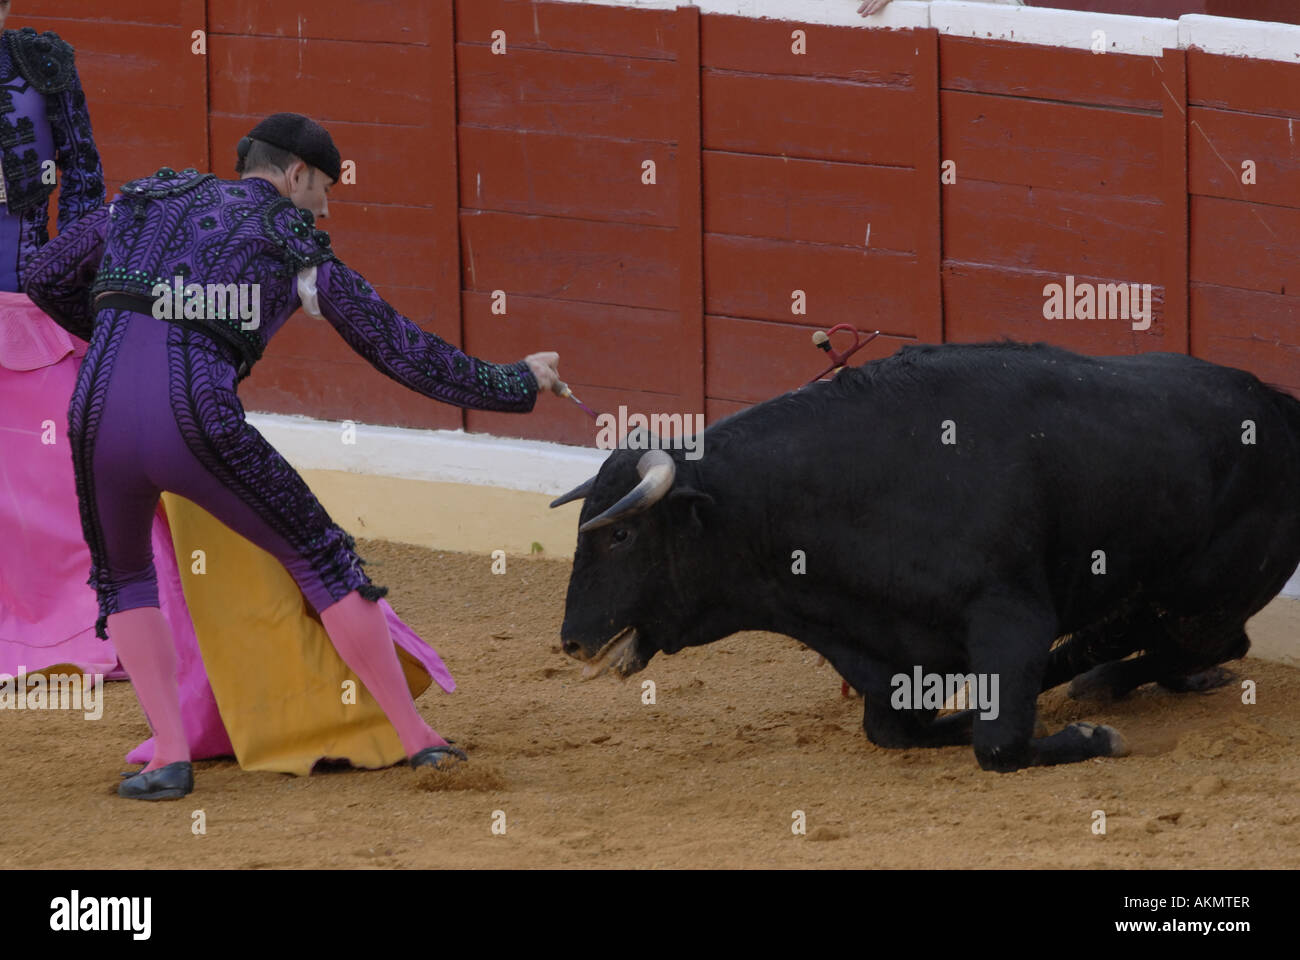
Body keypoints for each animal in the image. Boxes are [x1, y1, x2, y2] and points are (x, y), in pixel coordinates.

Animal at [550, 342, 1300, 772]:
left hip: (1208, 594)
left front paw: (1094, 737)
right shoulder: (893, 658)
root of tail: (1277, 404)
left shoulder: (1010, 616)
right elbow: (895, 731)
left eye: (620, 536)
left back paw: (1117, 683)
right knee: (1138, 636)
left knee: (1205, 640)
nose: (572, 640)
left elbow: (1000, 746)